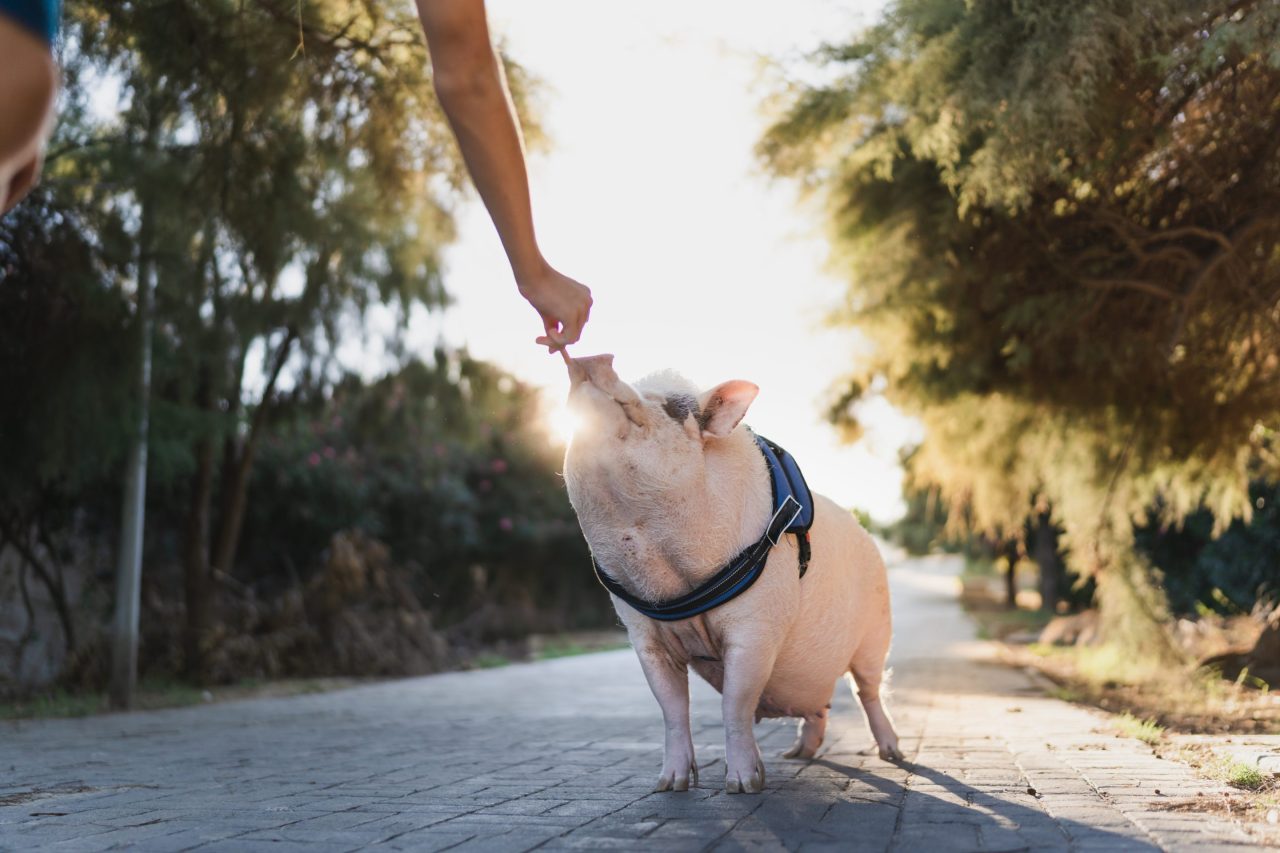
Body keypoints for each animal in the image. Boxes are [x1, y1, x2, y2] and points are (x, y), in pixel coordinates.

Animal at [561, 354, 902, 795]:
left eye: (672, 407)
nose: (592, 358)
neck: (673, 581)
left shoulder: (755, 627)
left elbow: (734, 703)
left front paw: (743, 786)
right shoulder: (644, 634)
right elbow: (672, 708)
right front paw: (669, 786)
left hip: (876, 633)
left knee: (868, 692)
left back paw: (893, 754)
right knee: (820, 709)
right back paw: (796, 755)